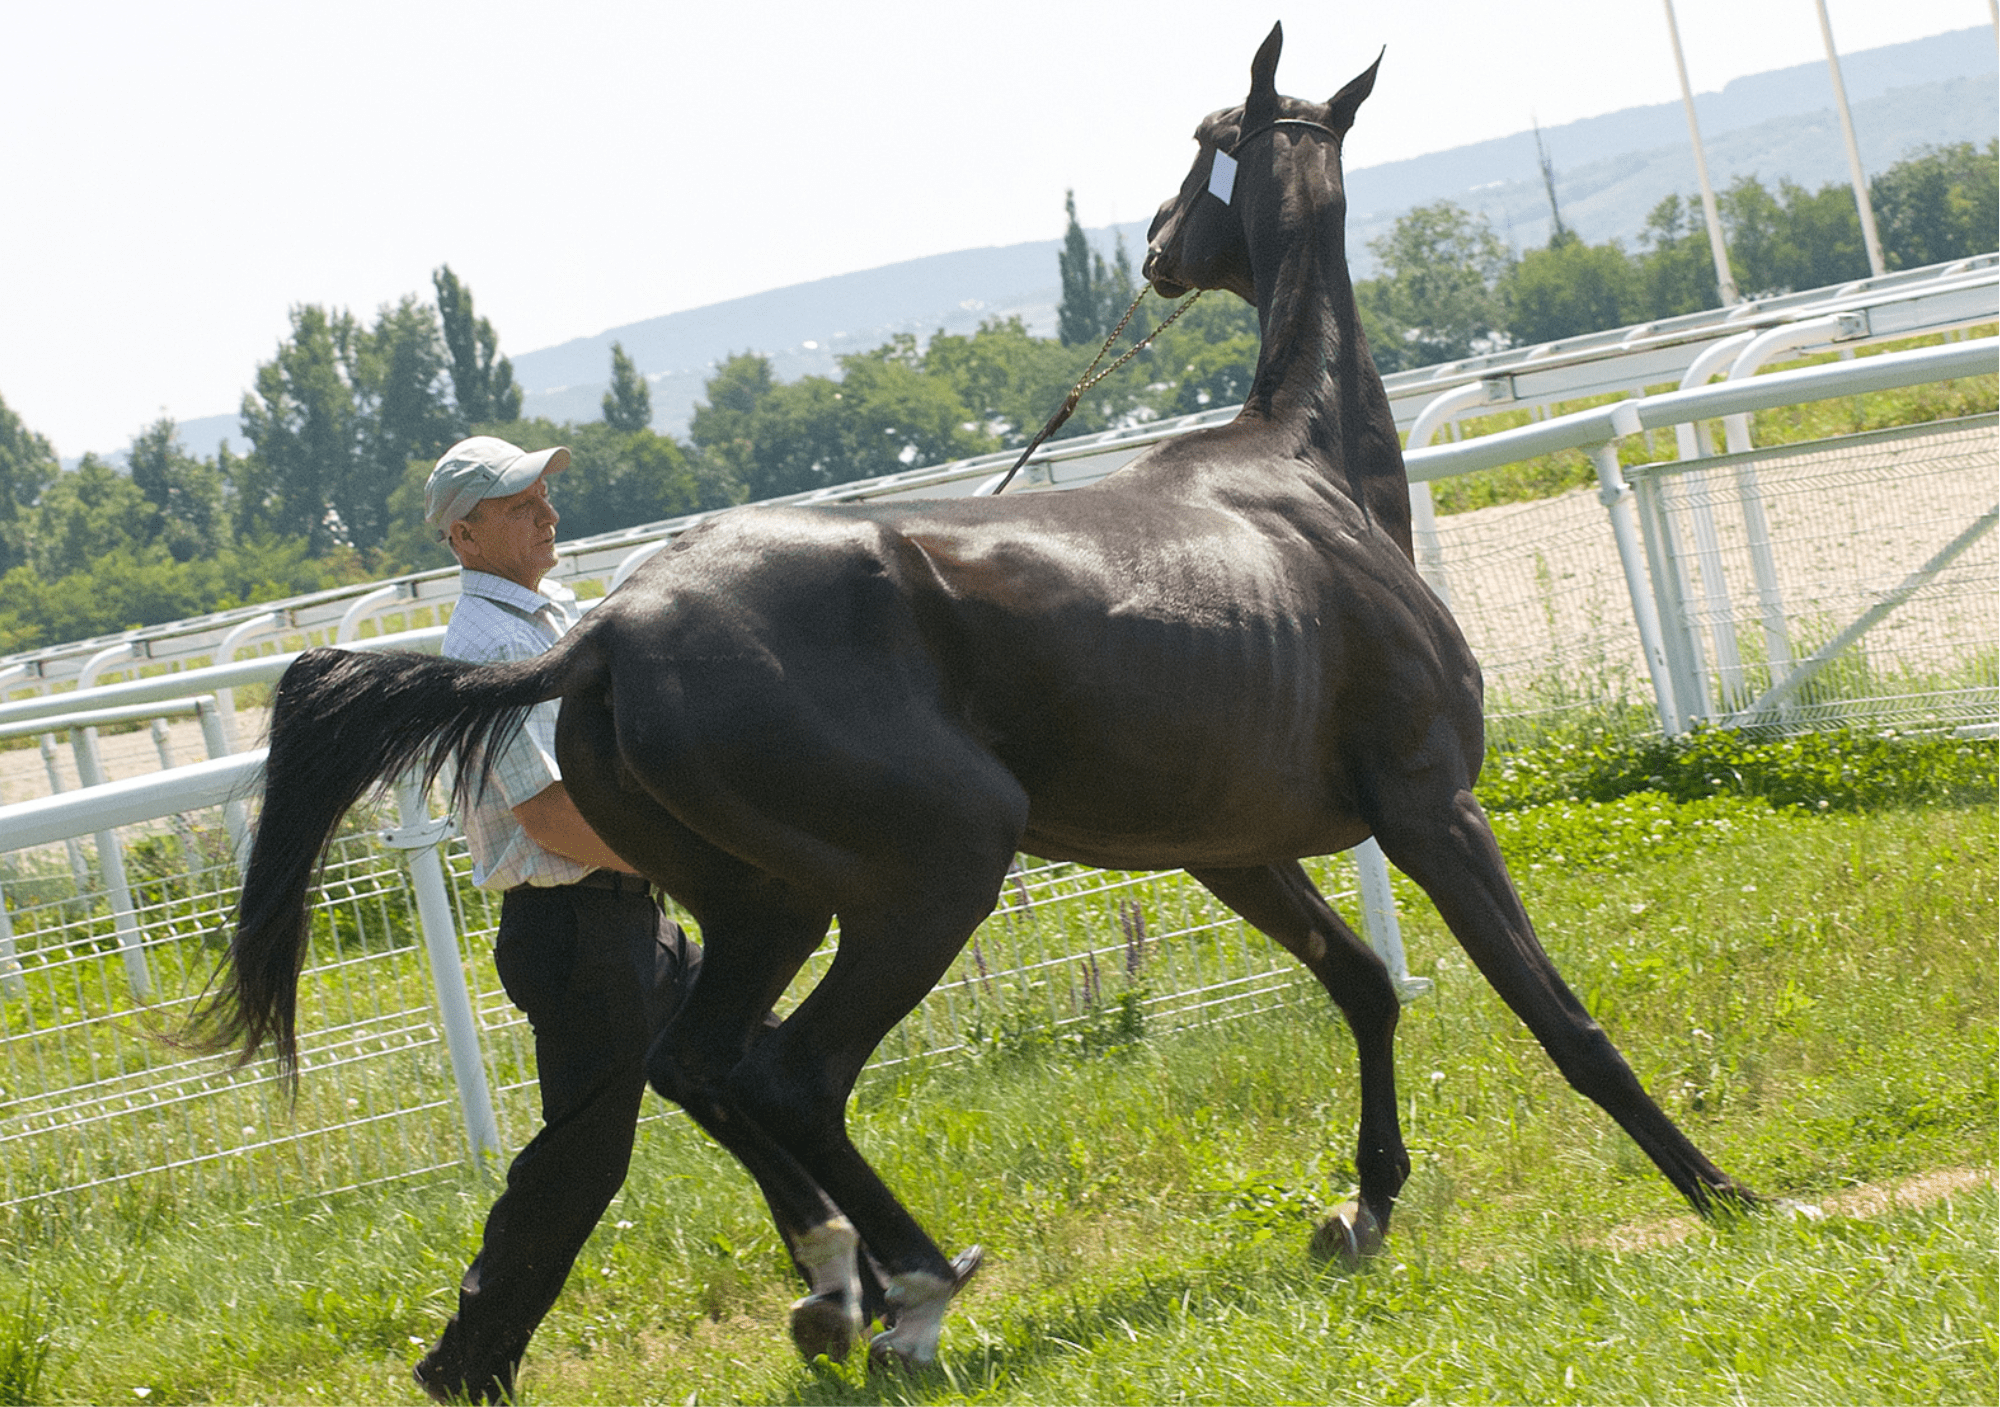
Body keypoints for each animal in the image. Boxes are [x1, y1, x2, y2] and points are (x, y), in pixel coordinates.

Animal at [190, 22, 1754, 1369]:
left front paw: (1360, 1207)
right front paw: (1719, 1188)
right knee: (790, 1069)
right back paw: (917, 1286)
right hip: (936, 869)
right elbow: (1559, 1016)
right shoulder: (1433, 807)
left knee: (703, 1062)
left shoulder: (1234, 849)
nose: (1160, 243)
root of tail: (612, 632)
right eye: (1203, 137)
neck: (1307, 475)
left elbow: (1365, 981)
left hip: (766, 904)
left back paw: (843, 1282)